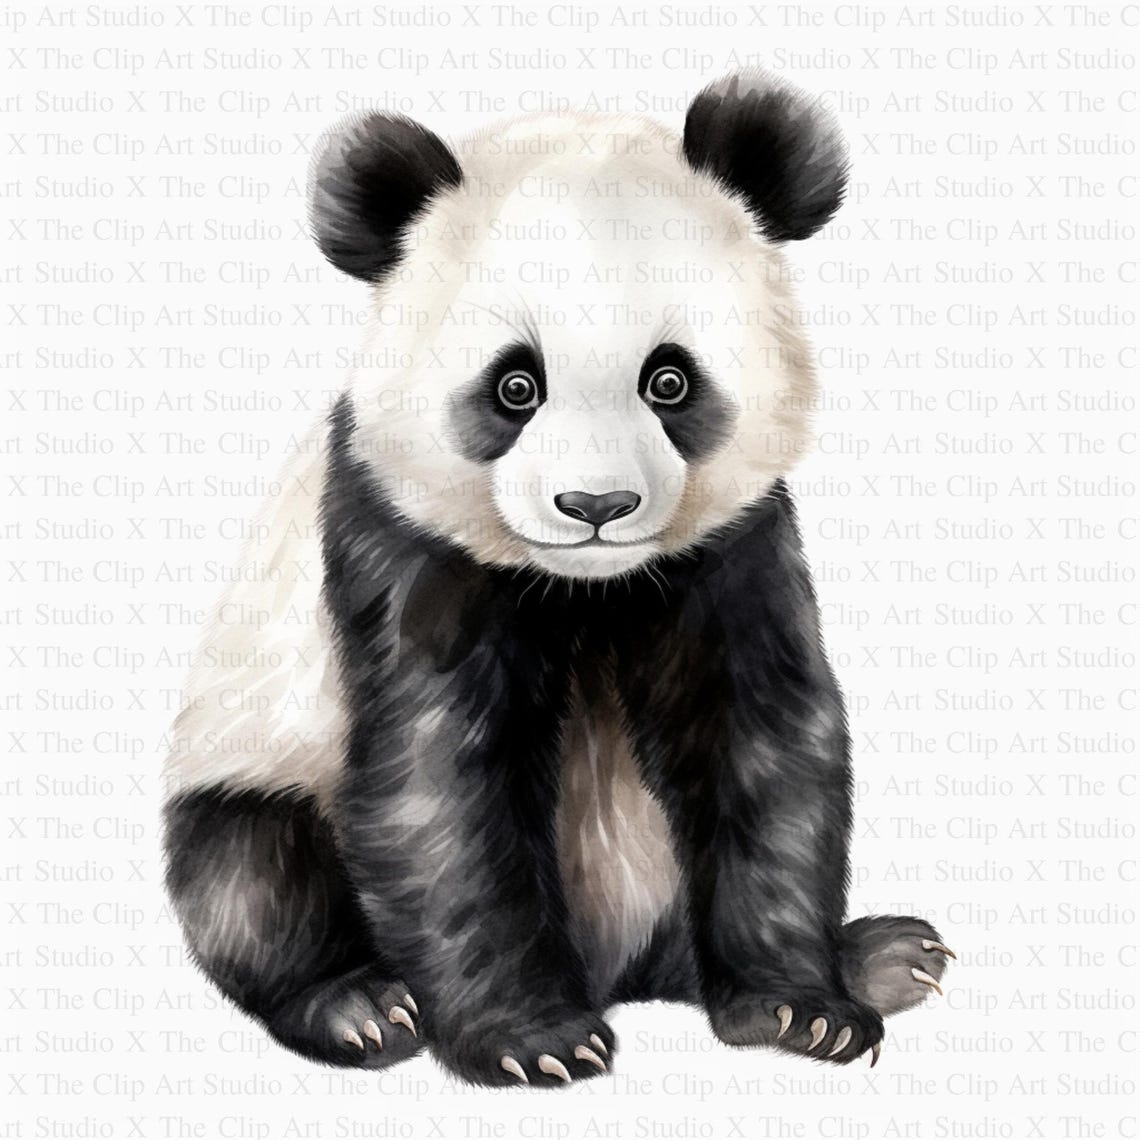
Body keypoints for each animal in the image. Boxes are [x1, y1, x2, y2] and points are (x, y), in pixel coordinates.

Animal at [163, 71, 953, 1088]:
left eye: (669, 380)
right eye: (515, 386)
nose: (596, 505)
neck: (586, 587)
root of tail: (624, 970)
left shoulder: (734, 551)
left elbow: (761, 744)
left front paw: (799, 1008)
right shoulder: (398, 543)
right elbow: (439, 783)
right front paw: (534, 1040)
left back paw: (887, 954)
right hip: (252, 760)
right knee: (251, 875)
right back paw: (357, 1007)